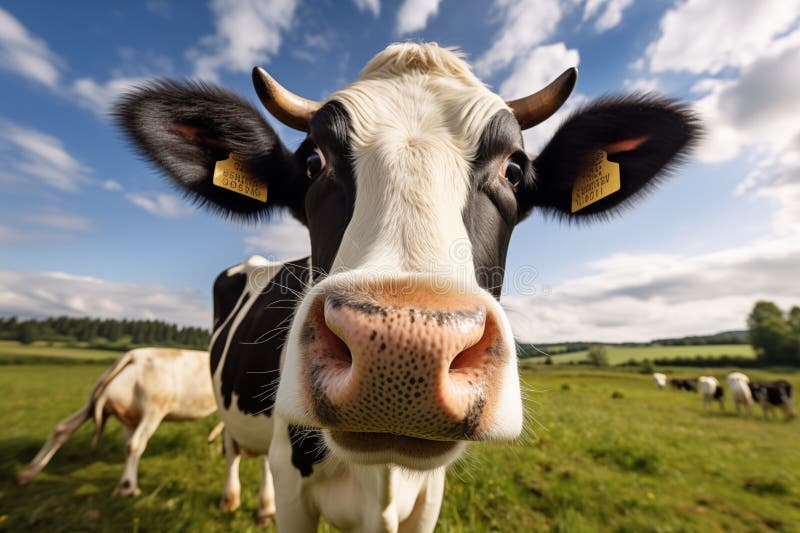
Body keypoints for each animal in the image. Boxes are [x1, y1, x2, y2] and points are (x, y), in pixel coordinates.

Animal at [17, 348, 216, 497]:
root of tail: (135, 355)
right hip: (153, 410)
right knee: (135, 444)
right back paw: (128, 488)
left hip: (96, 404)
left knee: (63, 428)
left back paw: (29, 473)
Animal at [115, 42, 699, 531]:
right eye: (312, 161)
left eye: (514, 168)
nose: (402, 347)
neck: (382, 476)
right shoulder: (297, 492)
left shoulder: (428, 500)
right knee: (238, 449)